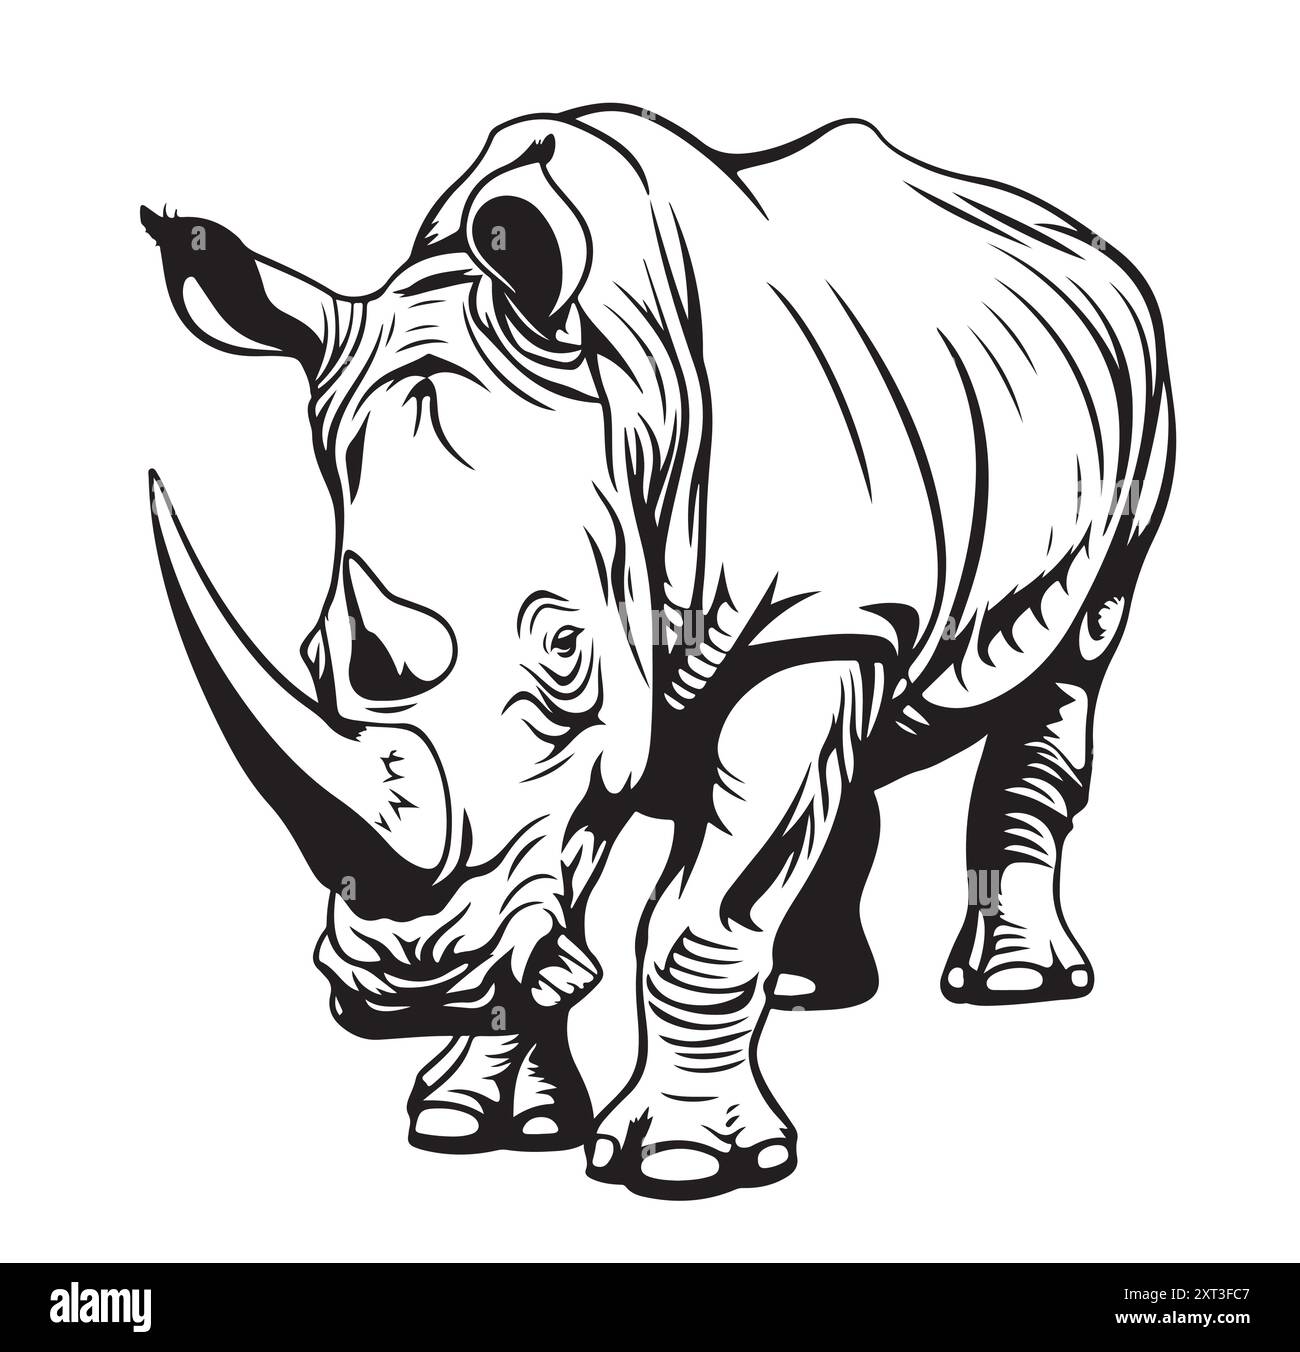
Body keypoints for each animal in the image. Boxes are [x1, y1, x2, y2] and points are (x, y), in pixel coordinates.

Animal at [142, 105, 1173, 1199]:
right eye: (315, 654)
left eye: (564, 648)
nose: (411, 980)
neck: (631, 391)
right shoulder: (684, 674)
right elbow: (586, 863)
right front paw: (474, 1119)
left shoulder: (805, 617)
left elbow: (701, 908)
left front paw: (684, 1163)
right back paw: (808, 987)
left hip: (1138, 413)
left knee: (1072, 663)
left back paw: (1013, 983)